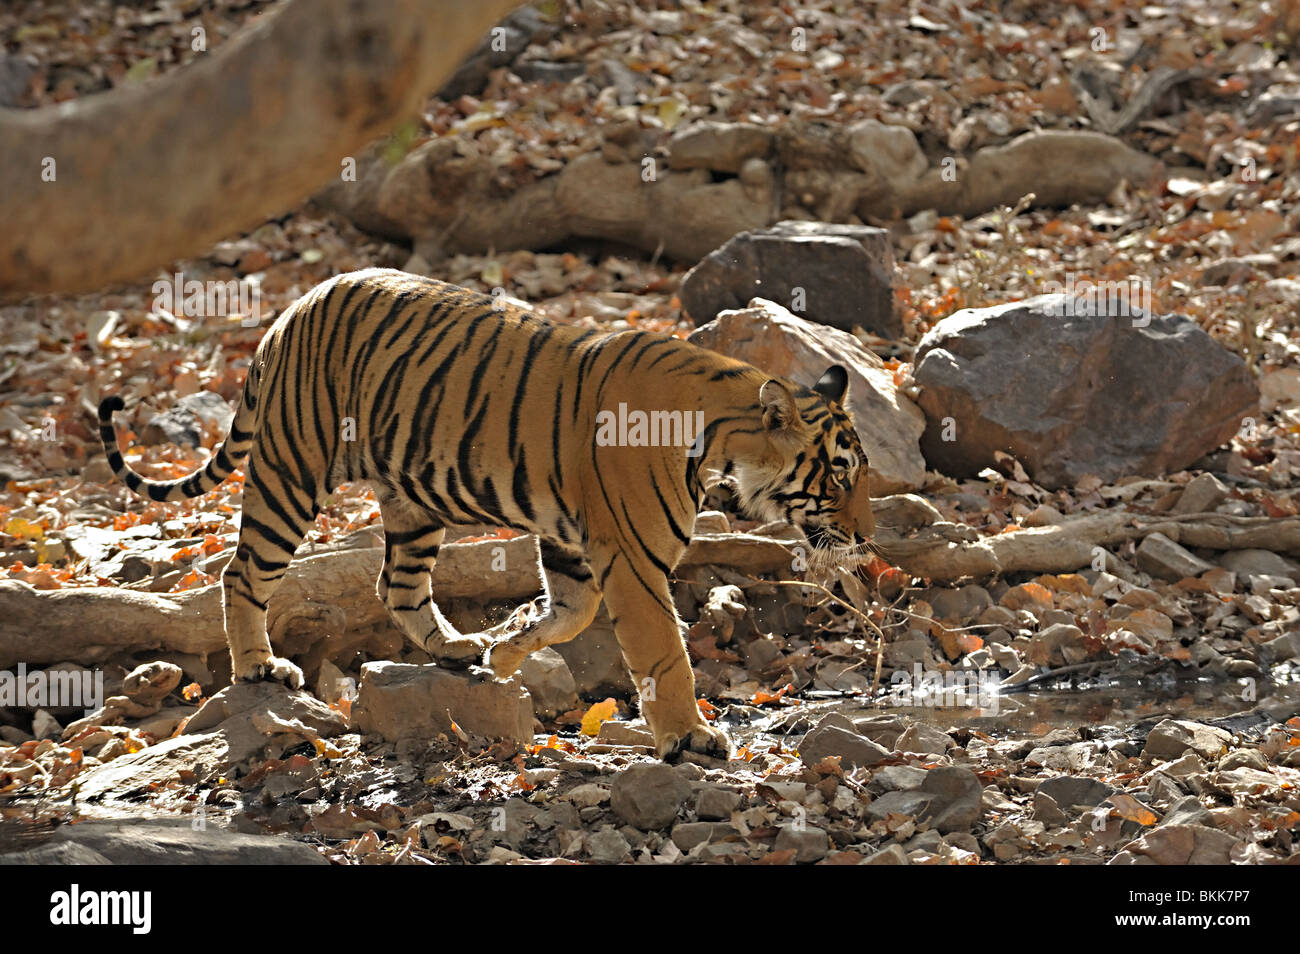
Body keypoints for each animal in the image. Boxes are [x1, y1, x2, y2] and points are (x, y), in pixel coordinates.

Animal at [98, 268, 874, 761]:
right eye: (839, 476)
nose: (868, 540)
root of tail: (290, 311)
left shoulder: (579, 546)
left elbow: (571, 615)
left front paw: (506, 648)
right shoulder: (633, 560)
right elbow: (664, 655)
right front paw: (692, 739)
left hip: (413, 501)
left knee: (396, 585)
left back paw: (454, 649)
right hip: (293, 470)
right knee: (241, 573)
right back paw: (260, 669)